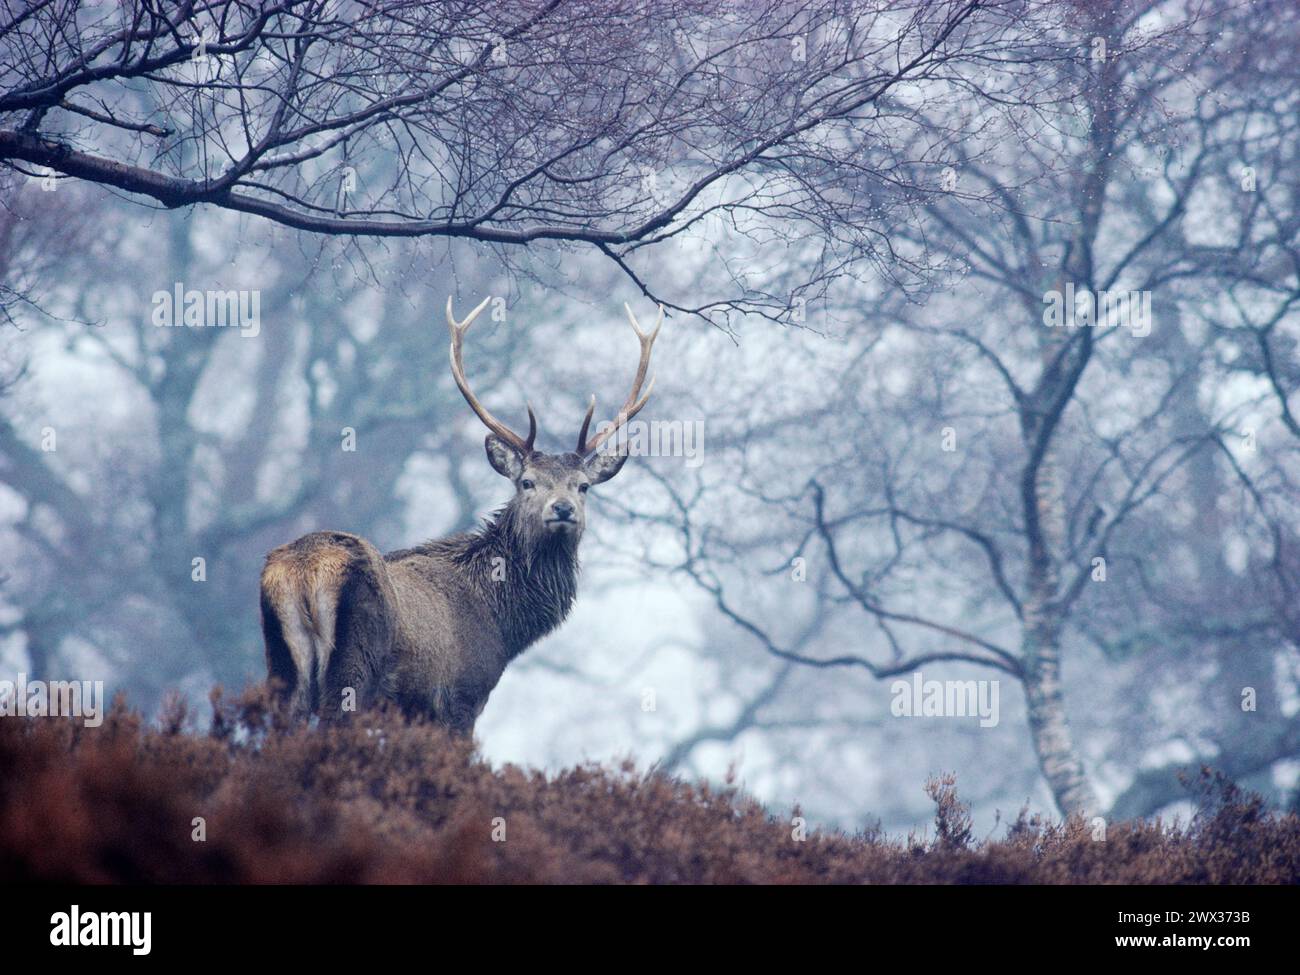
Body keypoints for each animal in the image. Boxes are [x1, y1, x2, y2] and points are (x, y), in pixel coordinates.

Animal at [259, 296, 661, 734]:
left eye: (583, 486)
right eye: (527, 482)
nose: (563, 508)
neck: (503, 623)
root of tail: (304, 568)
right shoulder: (461, 697)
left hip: (281, 668)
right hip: (354, 669)